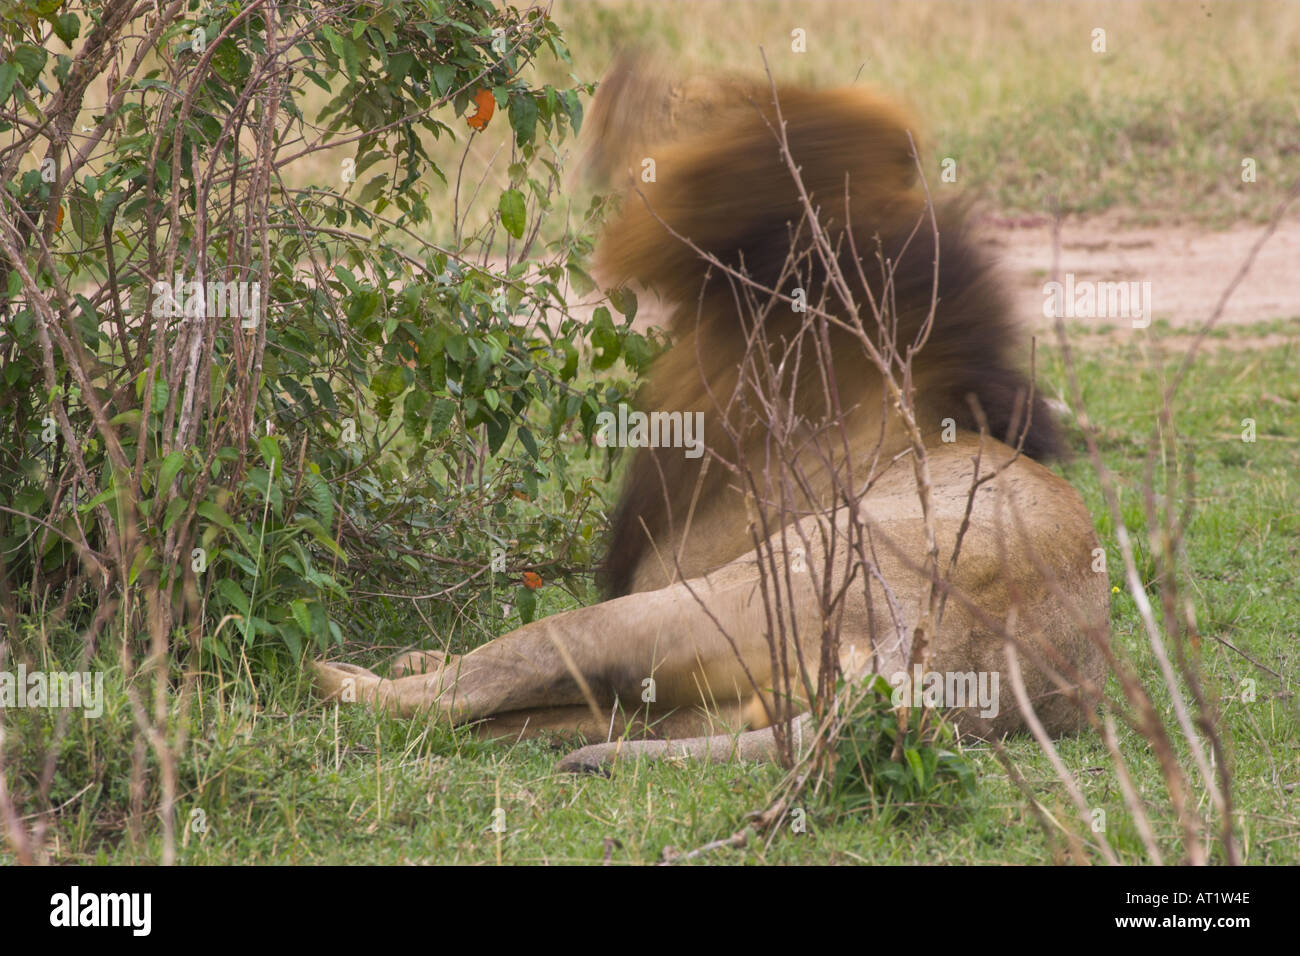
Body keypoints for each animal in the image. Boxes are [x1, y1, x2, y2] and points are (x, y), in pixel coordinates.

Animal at [312, 57, 1109, 772]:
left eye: (698, 103)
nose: (618, 84)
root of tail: (951, 669)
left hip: (704, 598)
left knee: (469, 691)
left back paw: (339, 678)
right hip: (717, 693)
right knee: (554, 712)